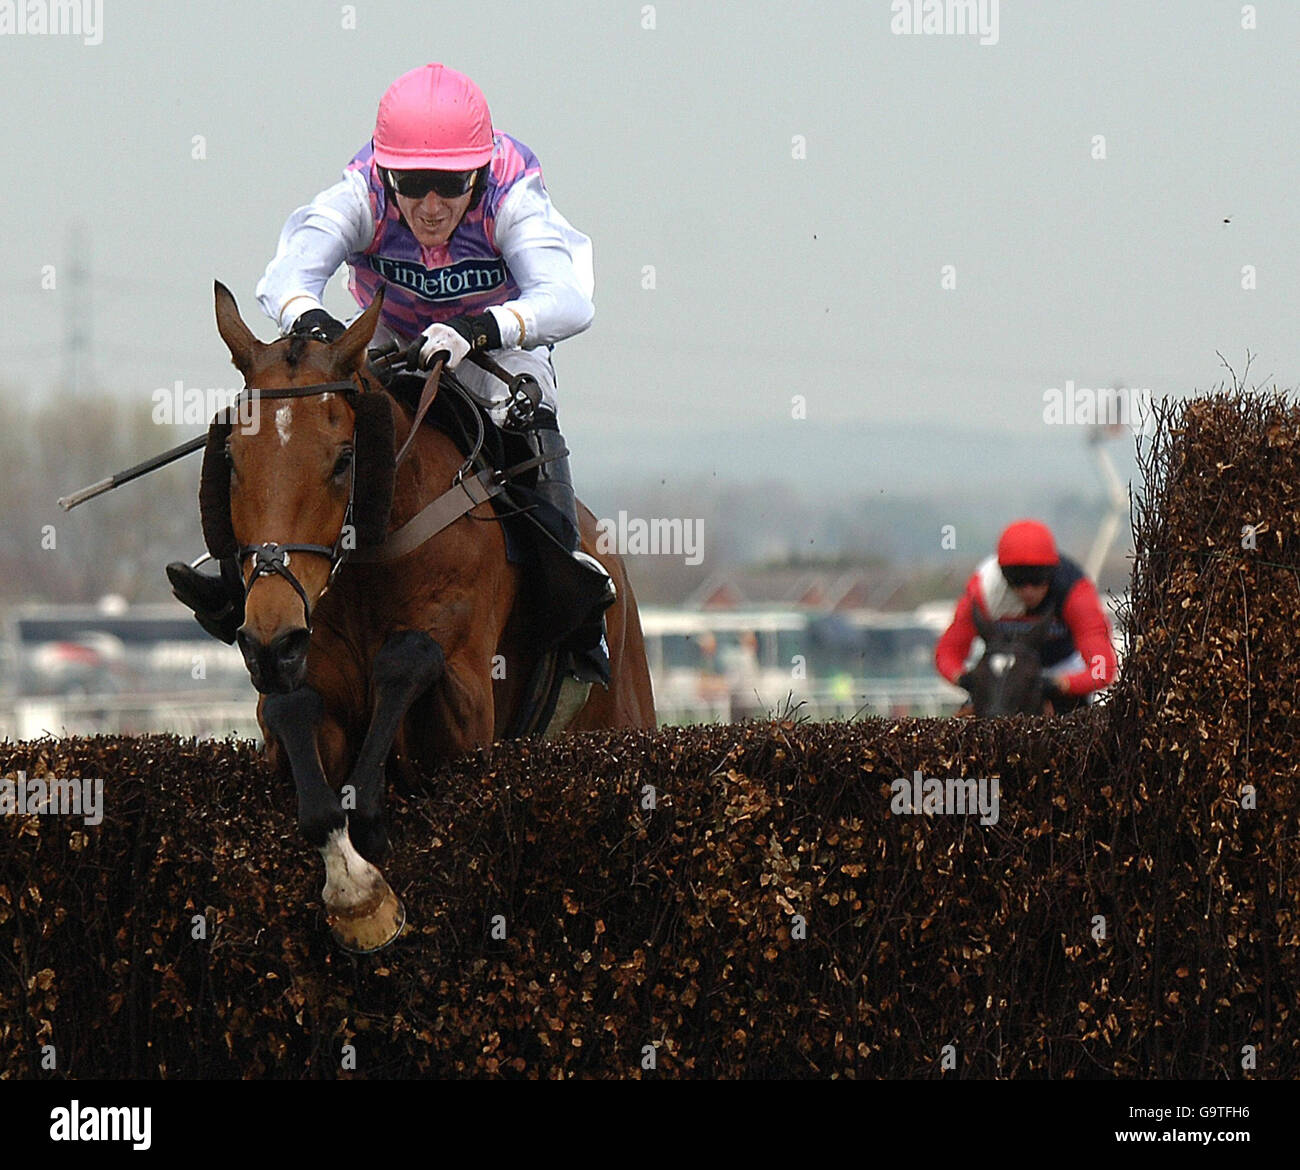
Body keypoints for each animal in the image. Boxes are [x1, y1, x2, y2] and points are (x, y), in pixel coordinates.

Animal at [208, 281, 656, 952]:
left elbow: (408, 656)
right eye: (234, 458)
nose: (271, 637)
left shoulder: (469, 723)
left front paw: (366, 845)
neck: (373, 556)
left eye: (345, 459)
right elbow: (294, 714)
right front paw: (353, 886)